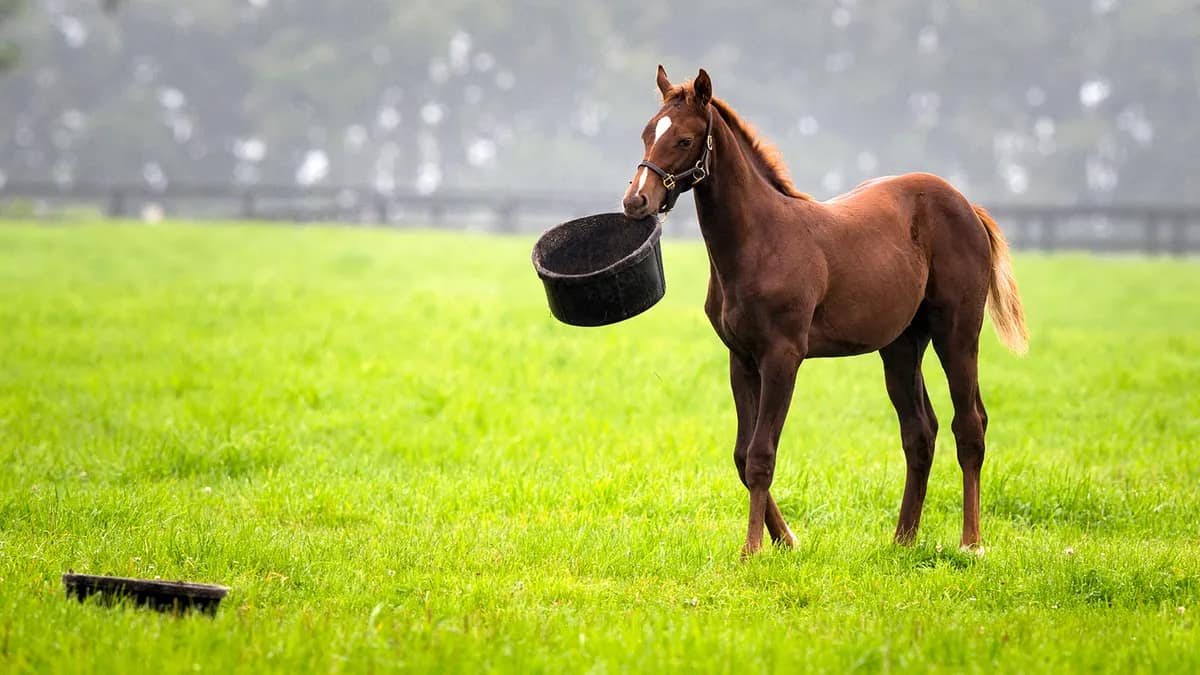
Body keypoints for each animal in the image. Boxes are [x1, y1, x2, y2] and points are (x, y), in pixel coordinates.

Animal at [621, 66, 1028, 557]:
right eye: (647, 133)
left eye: (683, 139)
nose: (635, 201)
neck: (760, 241)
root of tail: (967, 205)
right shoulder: (741, 359)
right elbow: (741, 454)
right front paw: (786, 540)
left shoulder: (783, 357)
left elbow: (761, 455)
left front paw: (753, 549)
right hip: (901, 346)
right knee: (920, 431)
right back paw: (903, 540)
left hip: (958, 333)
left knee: (969, 426)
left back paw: (971, 542)